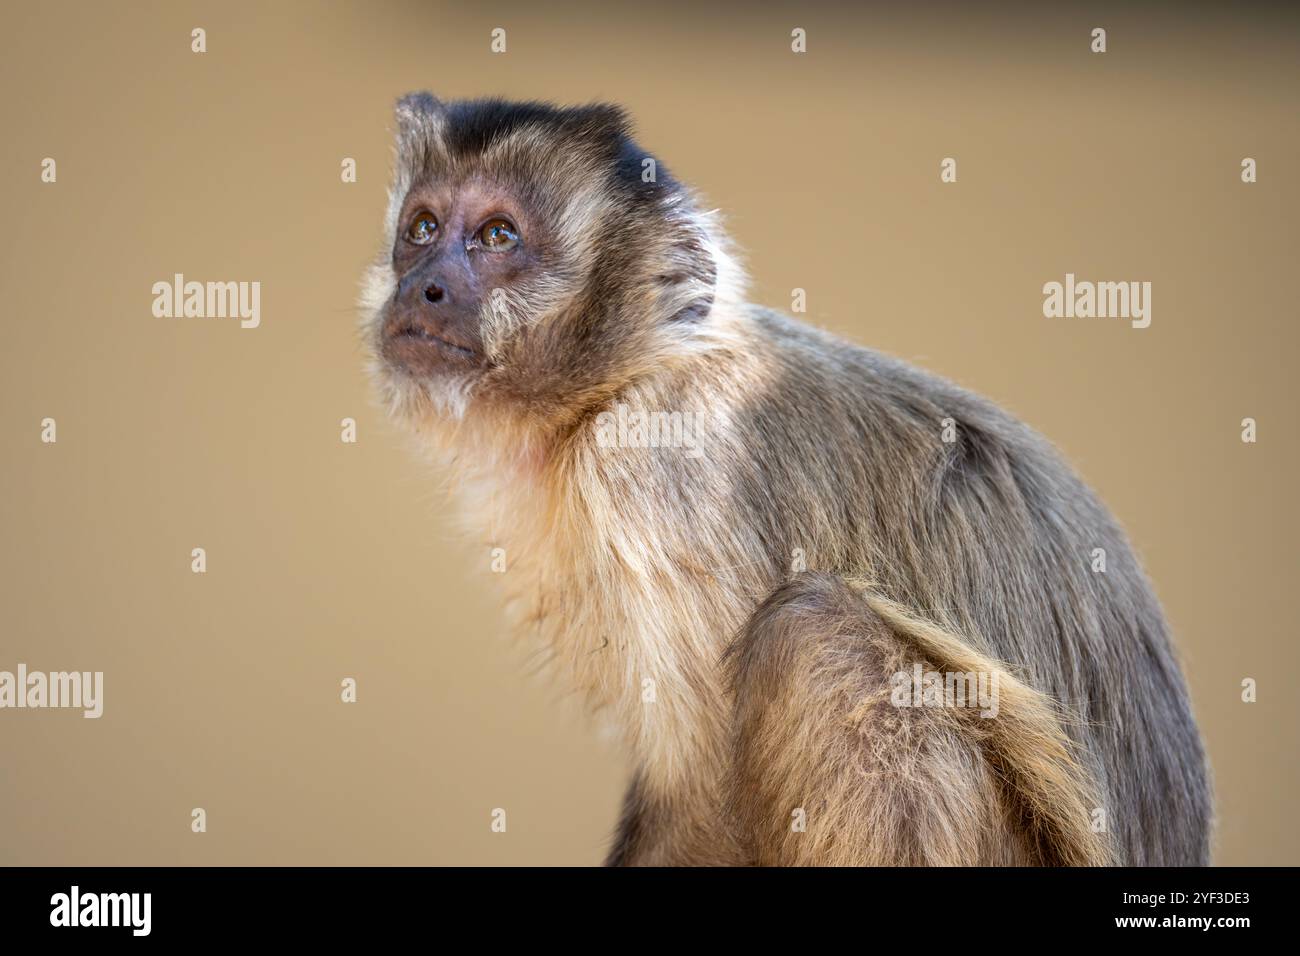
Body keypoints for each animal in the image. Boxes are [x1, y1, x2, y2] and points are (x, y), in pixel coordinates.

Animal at [360, 93, 1212, 866]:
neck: (622, 384)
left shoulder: (655, 461)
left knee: (810, 632)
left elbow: (703, 787)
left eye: (497, 236)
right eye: (423, 229)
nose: (424, 284)